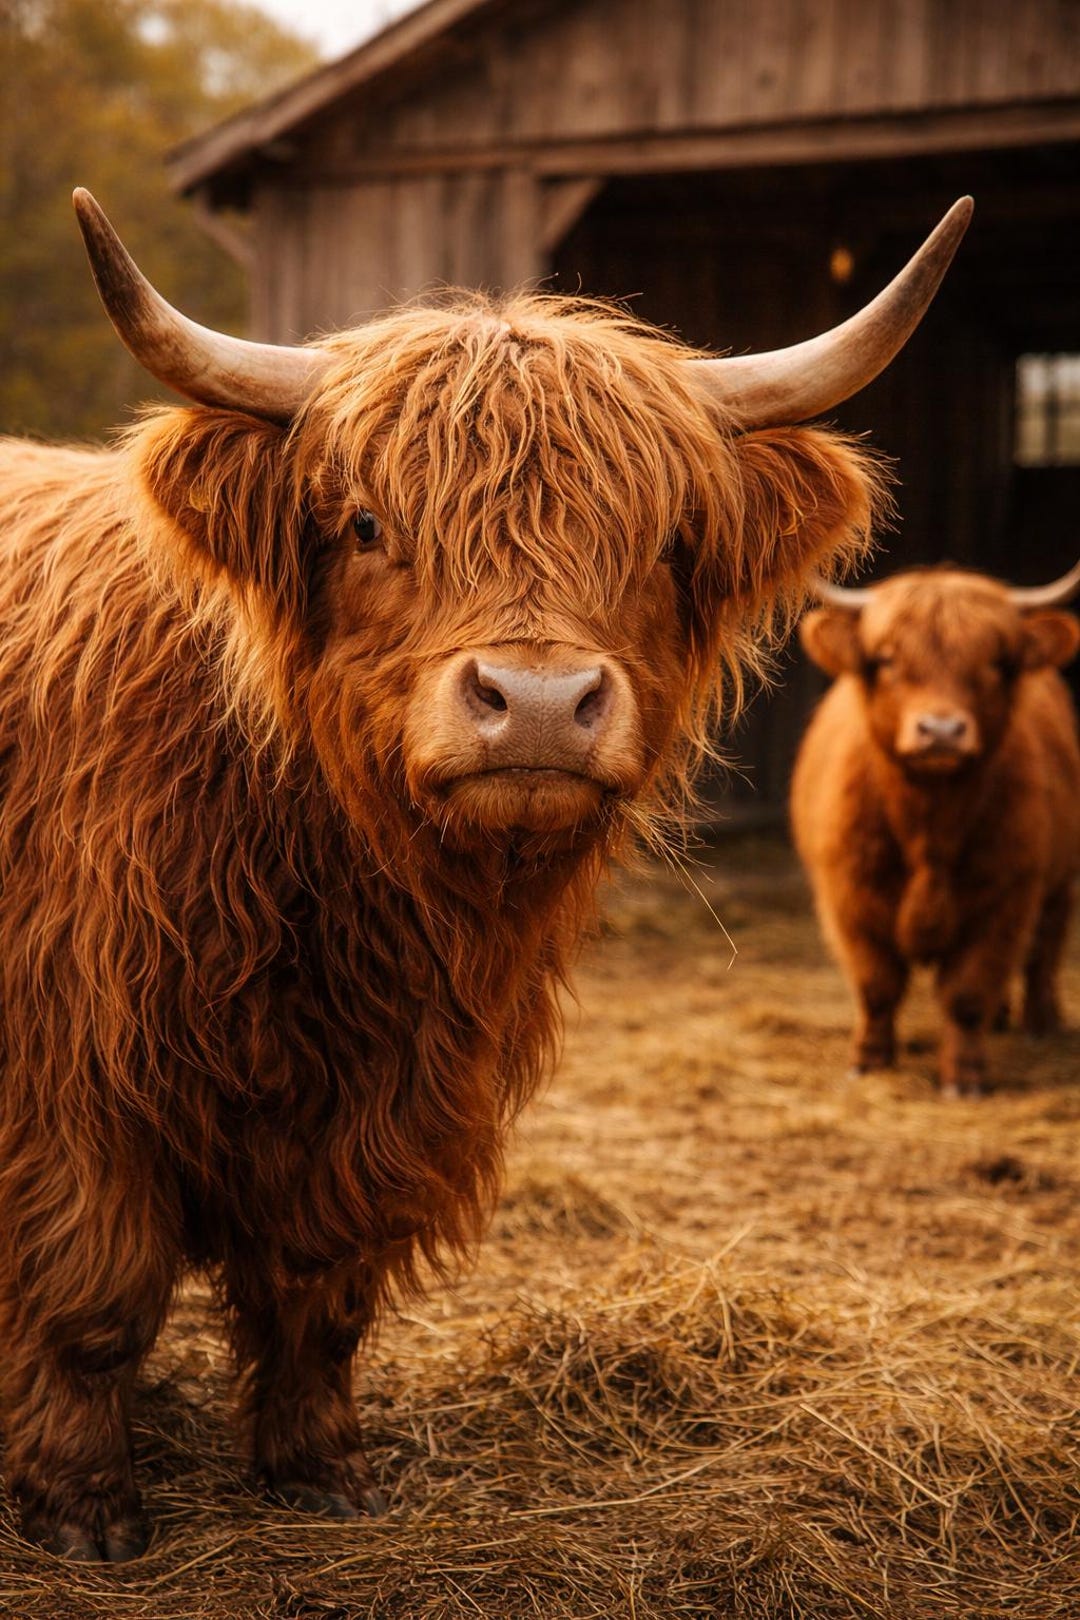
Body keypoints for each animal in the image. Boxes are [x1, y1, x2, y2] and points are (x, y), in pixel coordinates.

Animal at [0, 189, 970, 1560]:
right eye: (367, 525)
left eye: (668, 541)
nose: (541, 705)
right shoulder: (74, 1084)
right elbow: (90, 1295)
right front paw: (83, 1508)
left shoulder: (401, 1094)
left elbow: (324, 1289)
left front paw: (321, 1471)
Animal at [791, 564, 1080, 1097]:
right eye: (887, 659)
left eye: (997, 662)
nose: (942, 732)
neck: (929, 827)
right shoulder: (848, 897)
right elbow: (876, 984)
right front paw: (869, 1061)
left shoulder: (1006, 900)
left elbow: (968, 990)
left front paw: (964, 1078)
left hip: (1060, 881)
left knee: (1043, 951)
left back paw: (1040, 1023)